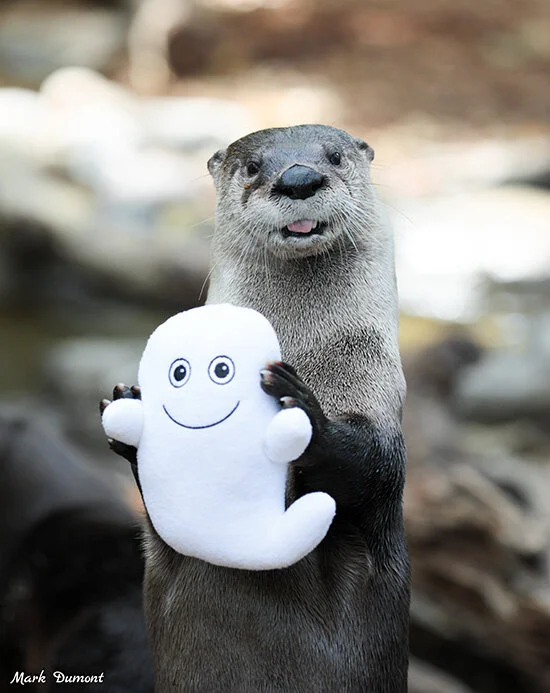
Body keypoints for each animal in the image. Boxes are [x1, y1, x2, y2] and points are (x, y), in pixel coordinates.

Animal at [108, 124, 409, 692]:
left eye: (334, 157)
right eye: (252, 167)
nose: (299, 178)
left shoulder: (378, 405)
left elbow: (374, 468)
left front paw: (306, 414)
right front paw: (135, 414)